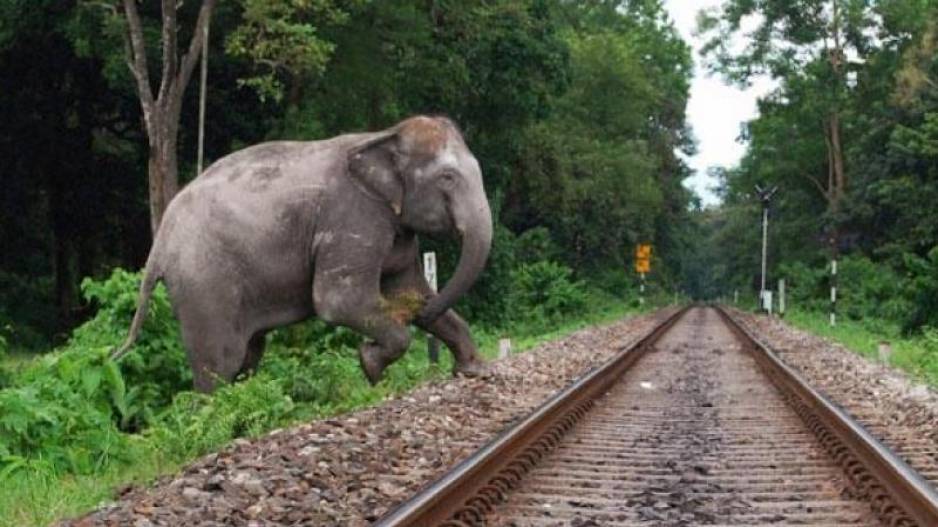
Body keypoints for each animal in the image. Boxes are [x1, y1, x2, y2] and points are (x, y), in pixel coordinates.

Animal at [113, 115, 493, 392]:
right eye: (447, 178)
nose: (420, 311)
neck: (384, 135)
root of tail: (159, 245)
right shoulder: (352, 217)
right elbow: (337, 300)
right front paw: (371, 366)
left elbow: (407, 288)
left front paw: (474, 372)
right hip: (204, 283)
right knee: (221, 362)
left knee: (248, 355)